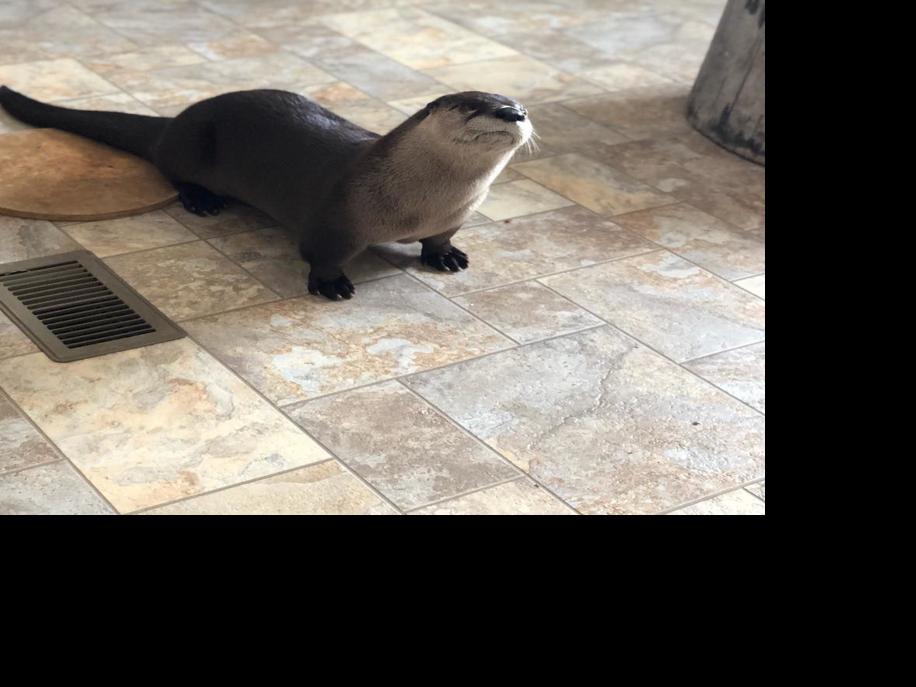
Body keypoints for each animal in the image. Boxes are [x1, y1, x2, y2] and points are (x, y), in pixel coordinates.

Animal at [0, 86, 533, 300]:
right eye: (471, 105)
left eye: (519, 105)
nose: (513, 113)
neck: (418, 206)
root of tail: (174, 123)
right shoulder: (336, 219)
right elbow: (321, 255)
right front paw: (331, 285)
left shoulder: (454, 216)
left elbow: (442, 239)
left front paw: (445, 256)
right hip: (190, 149)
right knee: (170, 172)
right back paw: (201, 200)